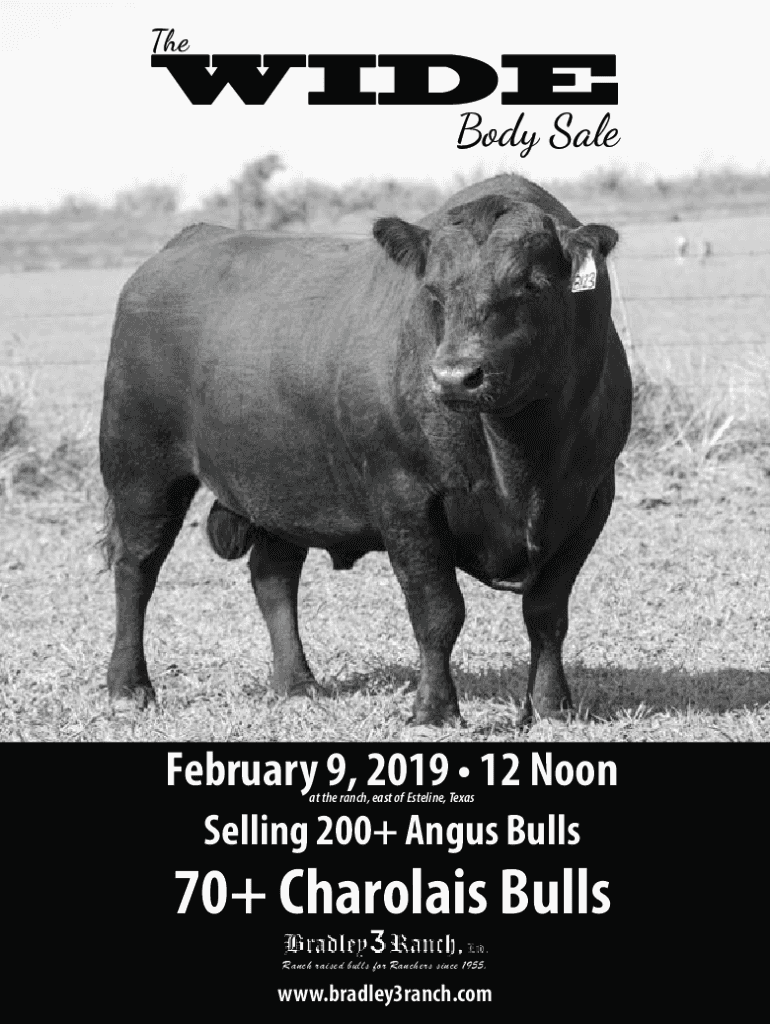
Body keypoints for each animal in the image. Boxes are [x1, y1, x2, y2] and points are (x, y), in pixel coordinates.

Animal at [99, 173, 632, 727]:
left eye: (532, 284)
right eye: (433, 291)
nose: (455, 376)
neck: (521, 456)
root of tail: (188, 240)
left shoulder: (592, 497)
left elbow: (546, 612)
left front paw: (551, 706)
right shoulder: (406, 499)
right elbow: (438, 610)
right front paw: (435, 710)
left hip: (281, 484)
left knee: (273, 576)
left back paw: (295, 684)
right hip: (141, 467)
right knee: (136, 567)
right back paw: (129, 687)